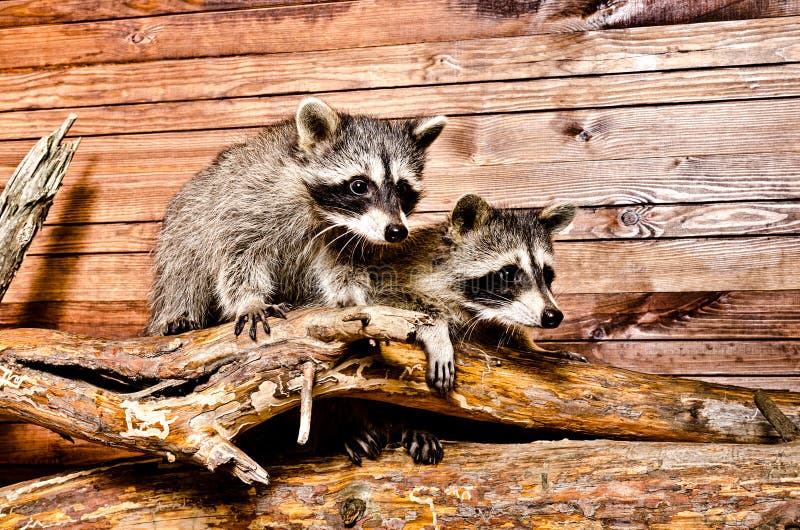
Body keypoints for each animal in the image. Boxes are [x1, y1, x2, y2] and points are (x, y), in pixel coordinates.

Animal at [146, 97, 446, 338]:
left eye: (402, 188)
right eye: (359, 186)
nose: (396, 231)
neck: (326, 215)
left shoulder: (346, 236)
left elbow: (343, 266)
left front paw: (352, 297)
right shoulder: (250, 202)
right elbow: (239, 257)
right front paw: (250, 300)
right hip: (185, 226)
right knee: (184, 271)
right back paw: (178, 312)